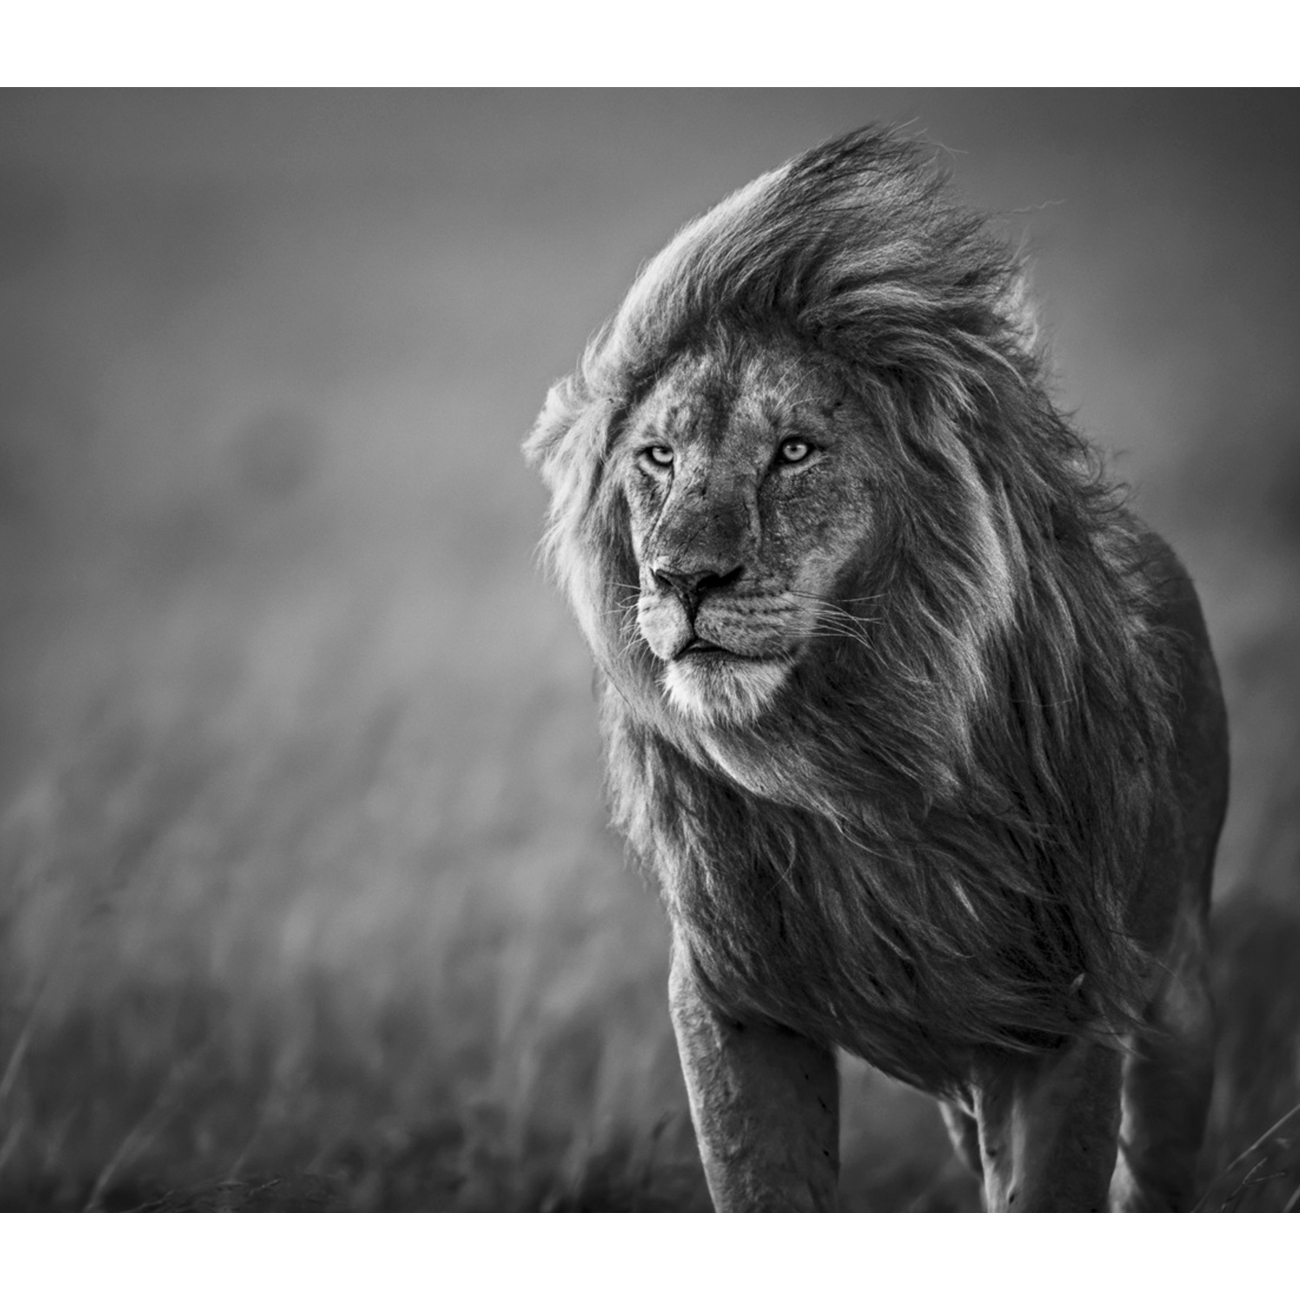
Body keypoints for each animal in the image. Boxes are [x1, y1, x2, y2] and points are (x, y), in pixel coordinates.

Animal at [524, 127, 1228, 1212]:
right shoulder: (734, 998)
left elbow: (1053, 1186)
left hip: (1176, 989)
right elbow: (766, 1187)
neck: (862, 766)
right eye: (657, 457)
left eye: (795, 451)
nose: (683, 577)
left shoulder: (1066, 1015)